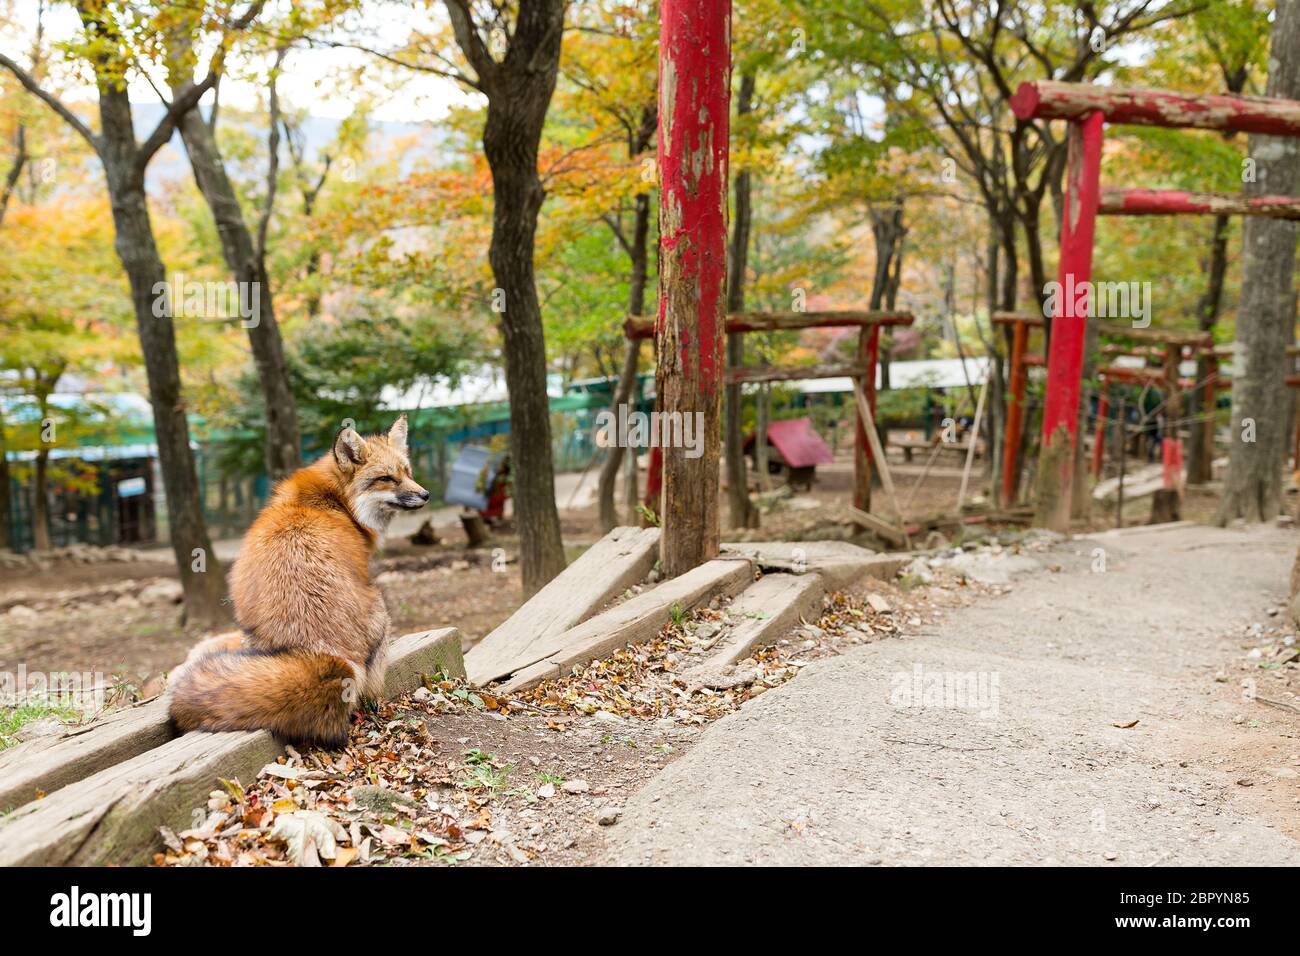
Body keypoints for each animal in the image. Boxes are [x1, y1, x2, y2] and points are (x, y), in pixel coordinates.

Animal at [167, 415, 429, 748]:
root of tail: (328, 653)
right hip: (381, 607)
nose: (425, 494)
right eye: (386, 479)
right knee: (370, 690)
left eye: (407, 472)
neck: (336, 500)